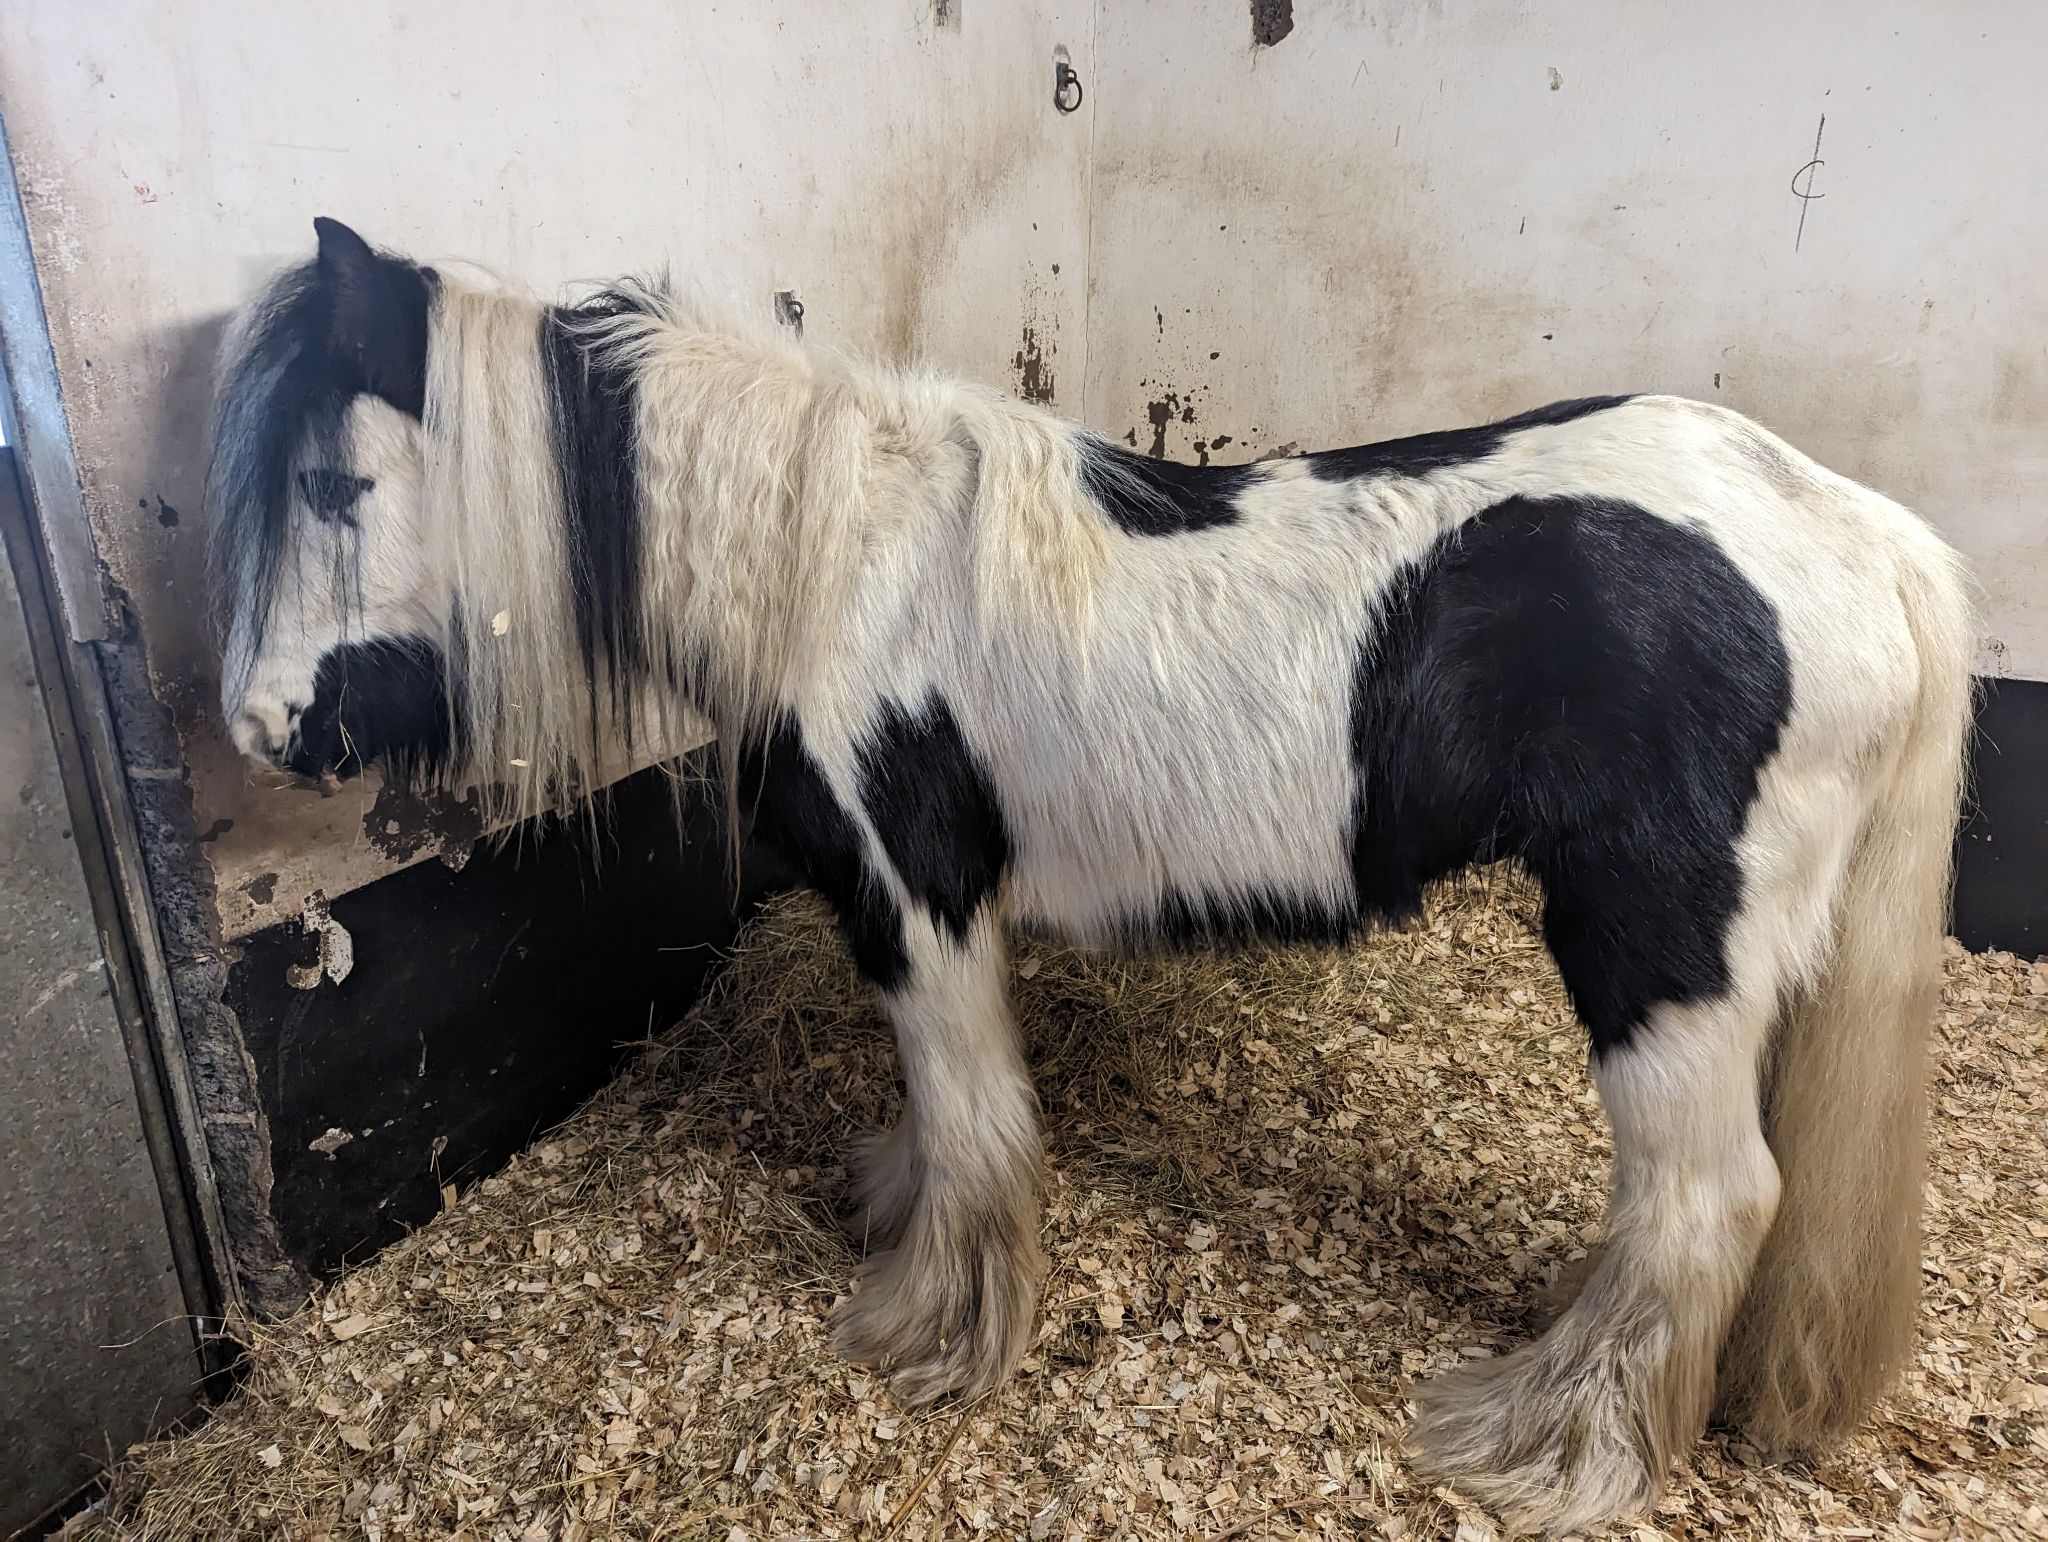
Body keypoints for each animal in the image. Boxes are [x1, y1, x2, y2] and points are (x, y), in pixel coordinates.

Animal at [206, 216, 1972, 1535]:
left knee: (1706, 1196)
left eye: (330, 486)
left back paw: (1551, 1443)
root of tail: (1862, 532)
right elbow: (937, 1120)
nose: (261, 725)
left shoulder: (917, 898)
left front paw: (928, 1329)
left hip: (1659, 949)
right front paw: (898, 1212)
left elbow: (977, 1115)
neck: (831, 556)